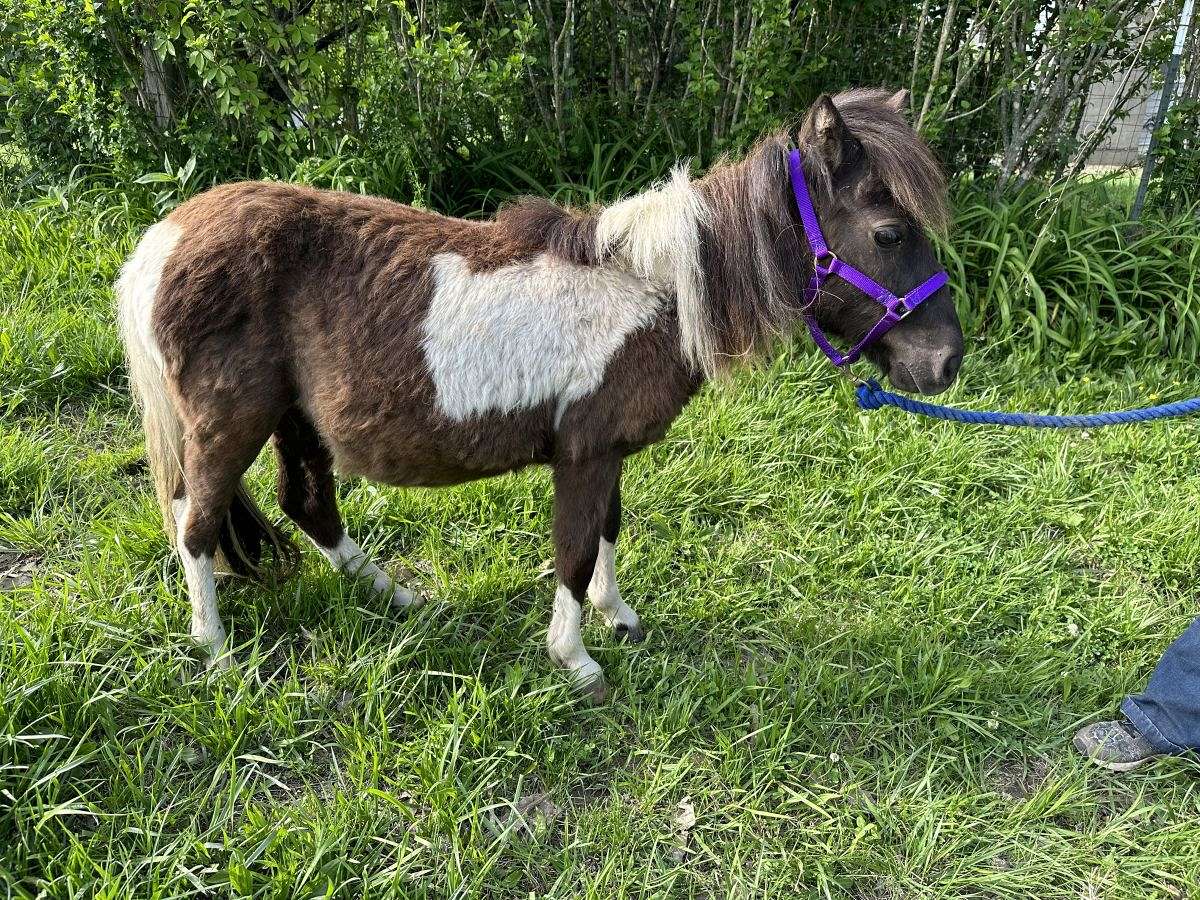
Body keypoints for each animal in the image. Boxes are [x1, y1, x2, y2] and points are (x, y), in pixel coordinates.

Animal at [116, 88, 963, 702]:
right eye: (889, 233)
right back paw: (217, 650)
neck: (652, 289)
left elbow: (611, 532)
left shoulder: (609, 452)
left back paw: (402, 601)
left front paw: (618, 618)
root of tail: (165, 238)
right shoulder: (583, 454)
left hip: (295, 420)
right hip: (231, 423)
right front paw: (576, 659)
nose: (946, 363)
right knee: (196, 525)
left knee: (308, 505)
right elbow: (575, 549)